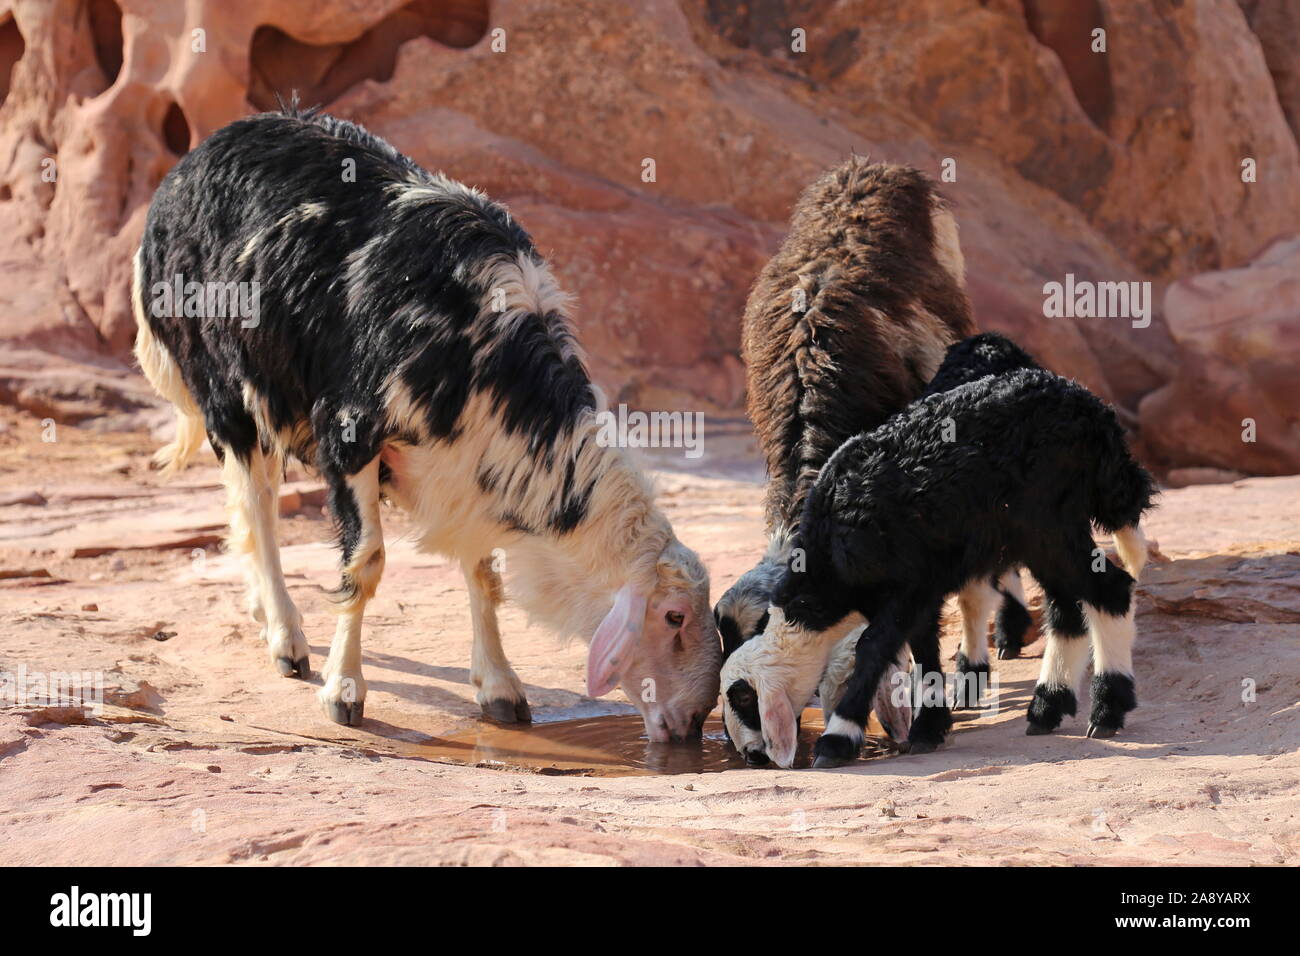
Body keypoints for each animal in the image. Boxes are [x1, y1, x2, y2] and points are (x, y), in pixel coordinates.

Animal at [133, 104, 720, 741]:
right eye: (673, 616)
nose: (694, 722)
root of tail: (194, 158)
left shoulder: (471, 470)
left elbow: (484, 573)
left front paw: (500, 687)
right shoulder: (348, 435)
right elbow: (365, 565)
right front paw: (344, 690)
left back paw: (266, 612)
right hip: (228, 384)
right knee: (256, 503)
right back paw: (286, 634)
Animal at [721, 364, 1155, 768]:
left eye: (743, 700)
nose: (753, 756)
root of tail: (1094, 409)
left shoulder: (910, 583)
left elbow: (873, 647)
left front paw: (838, 739)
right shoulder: (918, 593)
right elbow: (923, 646)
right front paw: (929, 727)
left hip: (1049, 521)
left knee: (1110, 589)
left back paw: (1107, 710)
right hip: (1038, 534)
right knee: (1067, 608)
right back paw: (1048, 708)